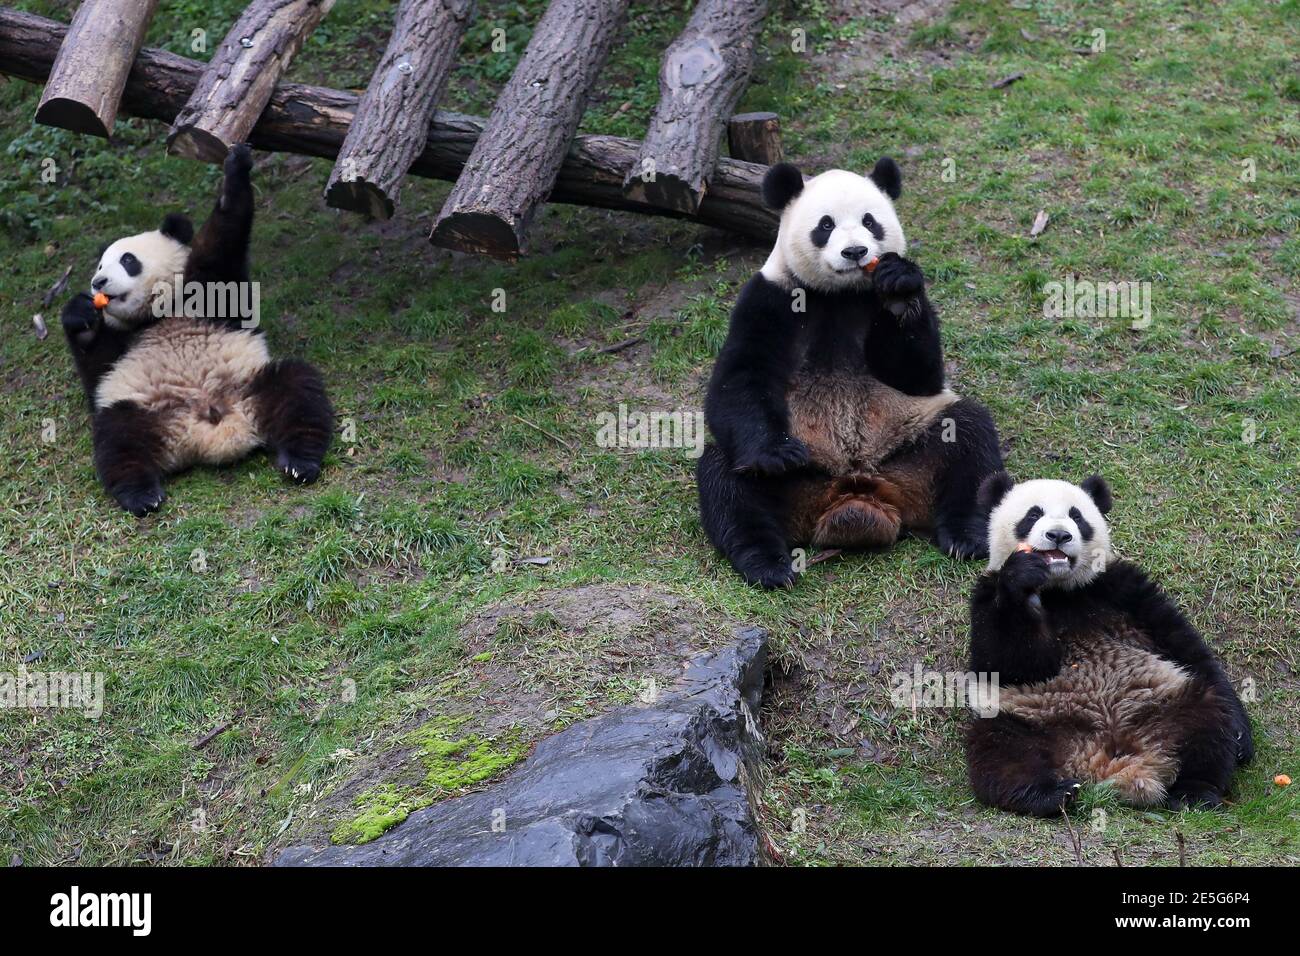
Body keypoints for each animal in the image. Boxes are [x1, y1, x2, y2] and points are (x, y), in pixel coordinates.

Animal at [60, 144, 334, 517]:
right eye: (100, 265)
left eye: (127, 260)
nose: (98, 282)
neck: (156, 316)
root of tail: (209, 434)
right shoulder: (123, 346)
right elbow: (98, 371)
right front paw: (81, 314)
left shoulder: (207, 293)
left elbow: (222, 240)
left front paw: (235, 171)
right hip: (145, 410)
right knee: (118, 438)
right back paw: (141, 494)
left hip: (250, 384)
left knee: (297, 388)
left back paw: (301, 460)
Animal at [697, 159, 1004, 588]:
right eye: (825, 225)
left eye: (870, 221)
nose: (856, 251)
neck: (839, 294)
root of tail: (857, 497)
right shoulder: (769, 297)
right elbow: (740, 377)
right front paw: (777, 452)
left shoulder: (876, 305)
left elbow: (917, 376)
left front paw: (898, 286)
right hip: (795, 479)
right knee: (728, 481)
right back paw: (768, 564)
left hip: (910, 445)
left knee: (970, 440)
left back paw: (966, 536)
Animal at [965, 472, 1253, 816]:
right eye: (1033, 514)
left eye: (1077, 516)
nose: (1058, 535)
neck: (1059, 590)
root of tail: (1107, 760)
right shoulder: (987, 592)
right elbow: (1008, 663)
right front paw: (1024, 581)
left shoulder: (1121, 588)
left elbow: (1185, 645)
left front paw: (1242, 736)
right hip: (1030, 719)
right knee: (1001, 752)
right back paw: (1051, 794)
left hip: (1163, 703)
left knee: (1207, 721)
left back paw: (1194, 793)